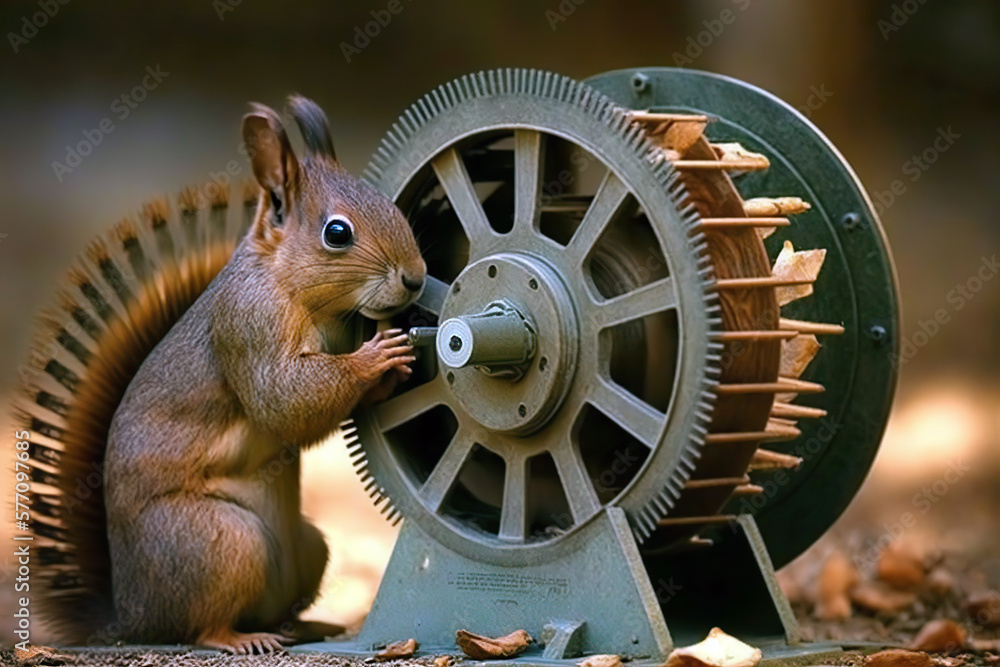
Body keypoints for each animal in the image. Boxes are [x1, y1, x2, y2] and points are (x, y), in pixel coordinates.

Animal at [15, 96, 426, 654]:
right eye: (337, 233)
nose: (416, 277)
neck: (290, 286)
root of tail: (133, 615)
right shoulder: (248, 324)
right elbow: (285, 399)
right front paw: (374, 358)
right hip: (221, 542)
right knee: (201, 626)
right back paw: (240, 639)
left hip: (310, 545)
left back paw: (306, 626)